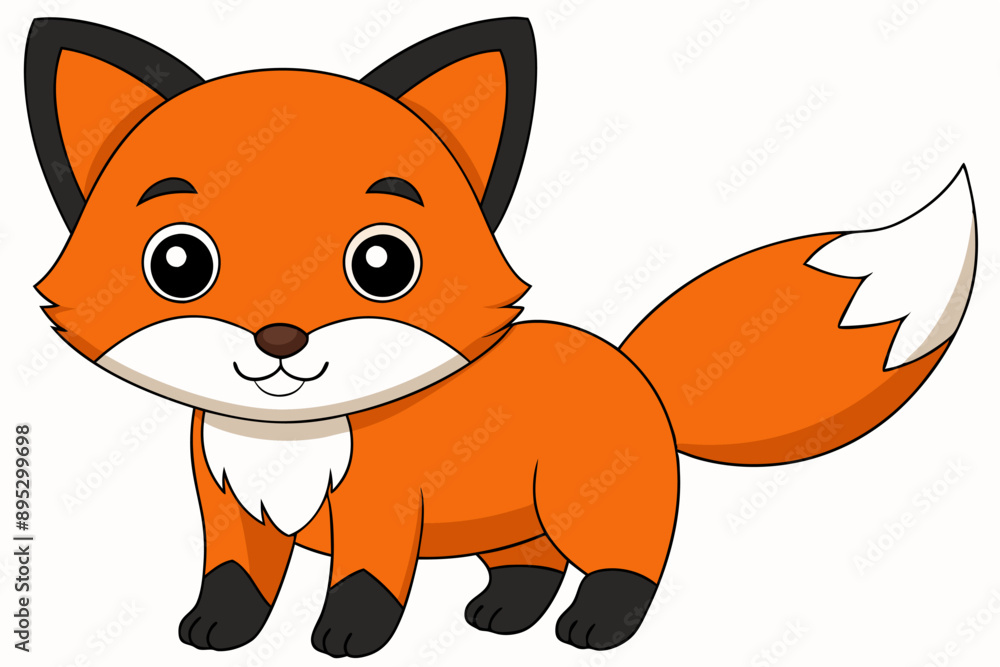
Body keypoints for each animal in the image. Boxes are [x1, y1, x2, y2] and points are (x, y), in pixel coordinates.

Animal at [25, 16, 977, 658]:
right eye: (178, 262)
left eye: (384, 263)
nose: (280, 337)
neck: (288, 443)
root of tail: (632, 367)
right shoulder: (229, 508)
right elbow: (235, 578)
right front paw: (218, 628)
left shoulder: (381, 509)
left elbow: (366, 580)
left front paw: (348, 635)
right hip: (516, 515)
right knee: (530, 565)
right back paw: (504, 615)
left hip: (587, 503)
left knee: (629, 561)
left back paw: (597, 624)